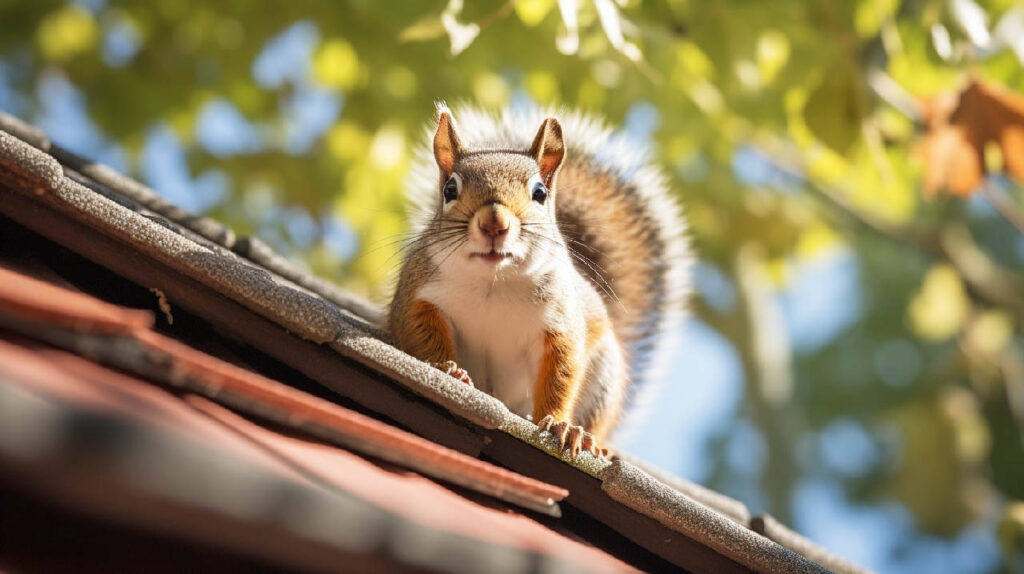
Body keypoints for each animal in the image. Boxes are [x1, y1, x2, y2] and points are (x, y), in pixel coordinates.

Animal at [389, 102, 692, 458]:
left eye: (540, 193)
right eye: (450, 190)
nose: (494, 223)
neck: (493, 284)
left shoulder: (559, 324)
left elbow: (560, 374)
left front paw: (562, 426)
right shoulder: (420, 298)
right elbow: (422, 338)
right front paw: (448, 370)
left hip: (604, 378)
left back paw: (592, 441)